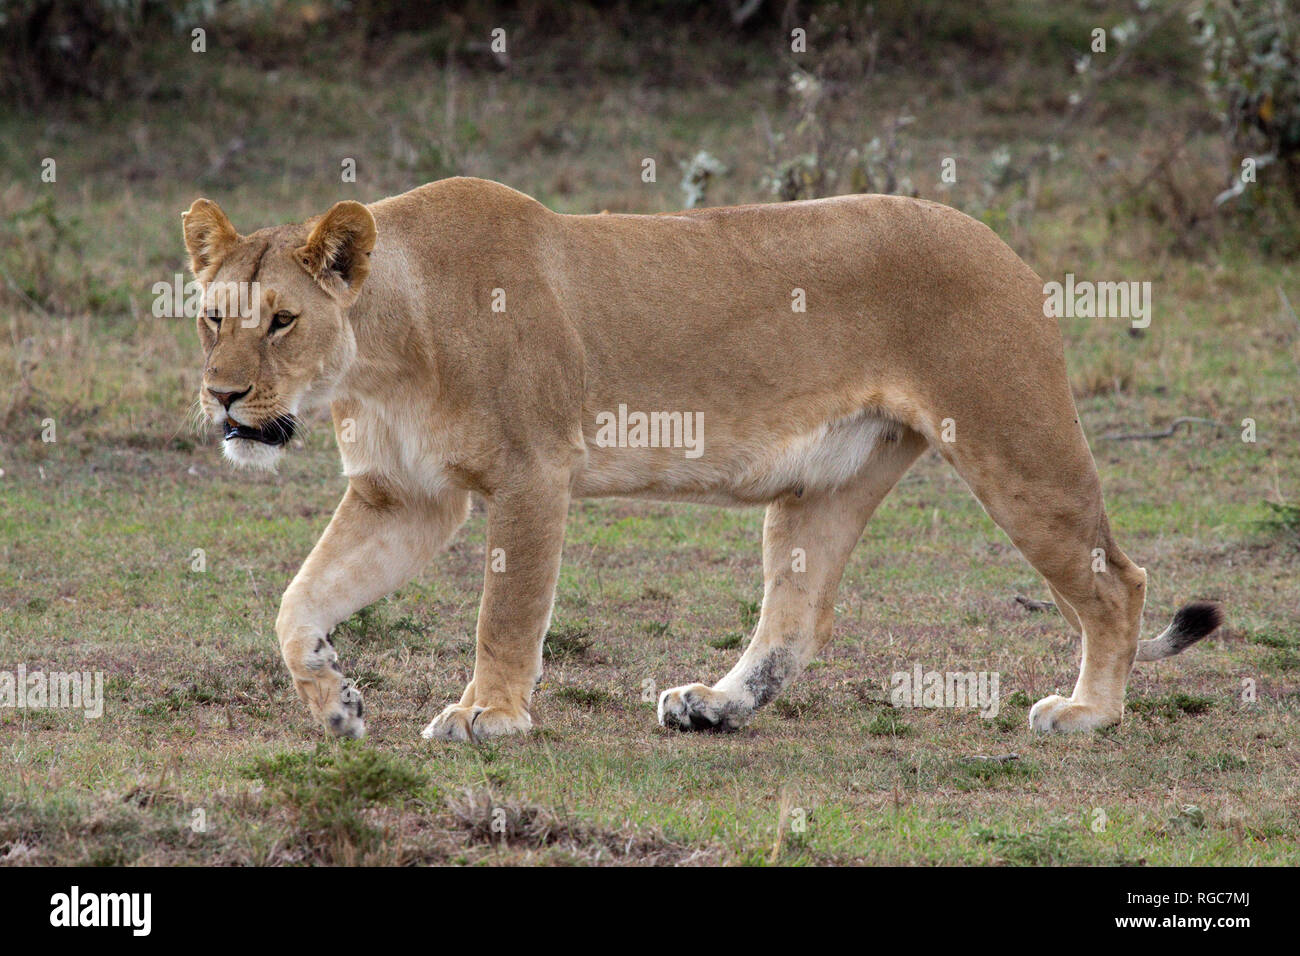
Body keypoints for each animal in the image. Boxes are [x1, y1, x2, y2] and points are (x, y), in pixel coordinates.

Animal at [182, 177, 1222, 742]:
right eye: (212, 319)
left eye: (282, 321)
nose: (224, 398)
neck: (383, 353)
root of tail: (999, 242)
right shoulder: (403, 496)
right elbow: (297, 602)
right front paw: (337, 703)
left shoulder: (531, 472)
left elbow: (505, 614)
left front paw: (491, 715)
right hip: (824, 483)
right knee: (798, 619)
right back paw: (714, 706)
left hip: (1015, 443)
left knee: (1118, 581)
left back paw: (1089, 712)